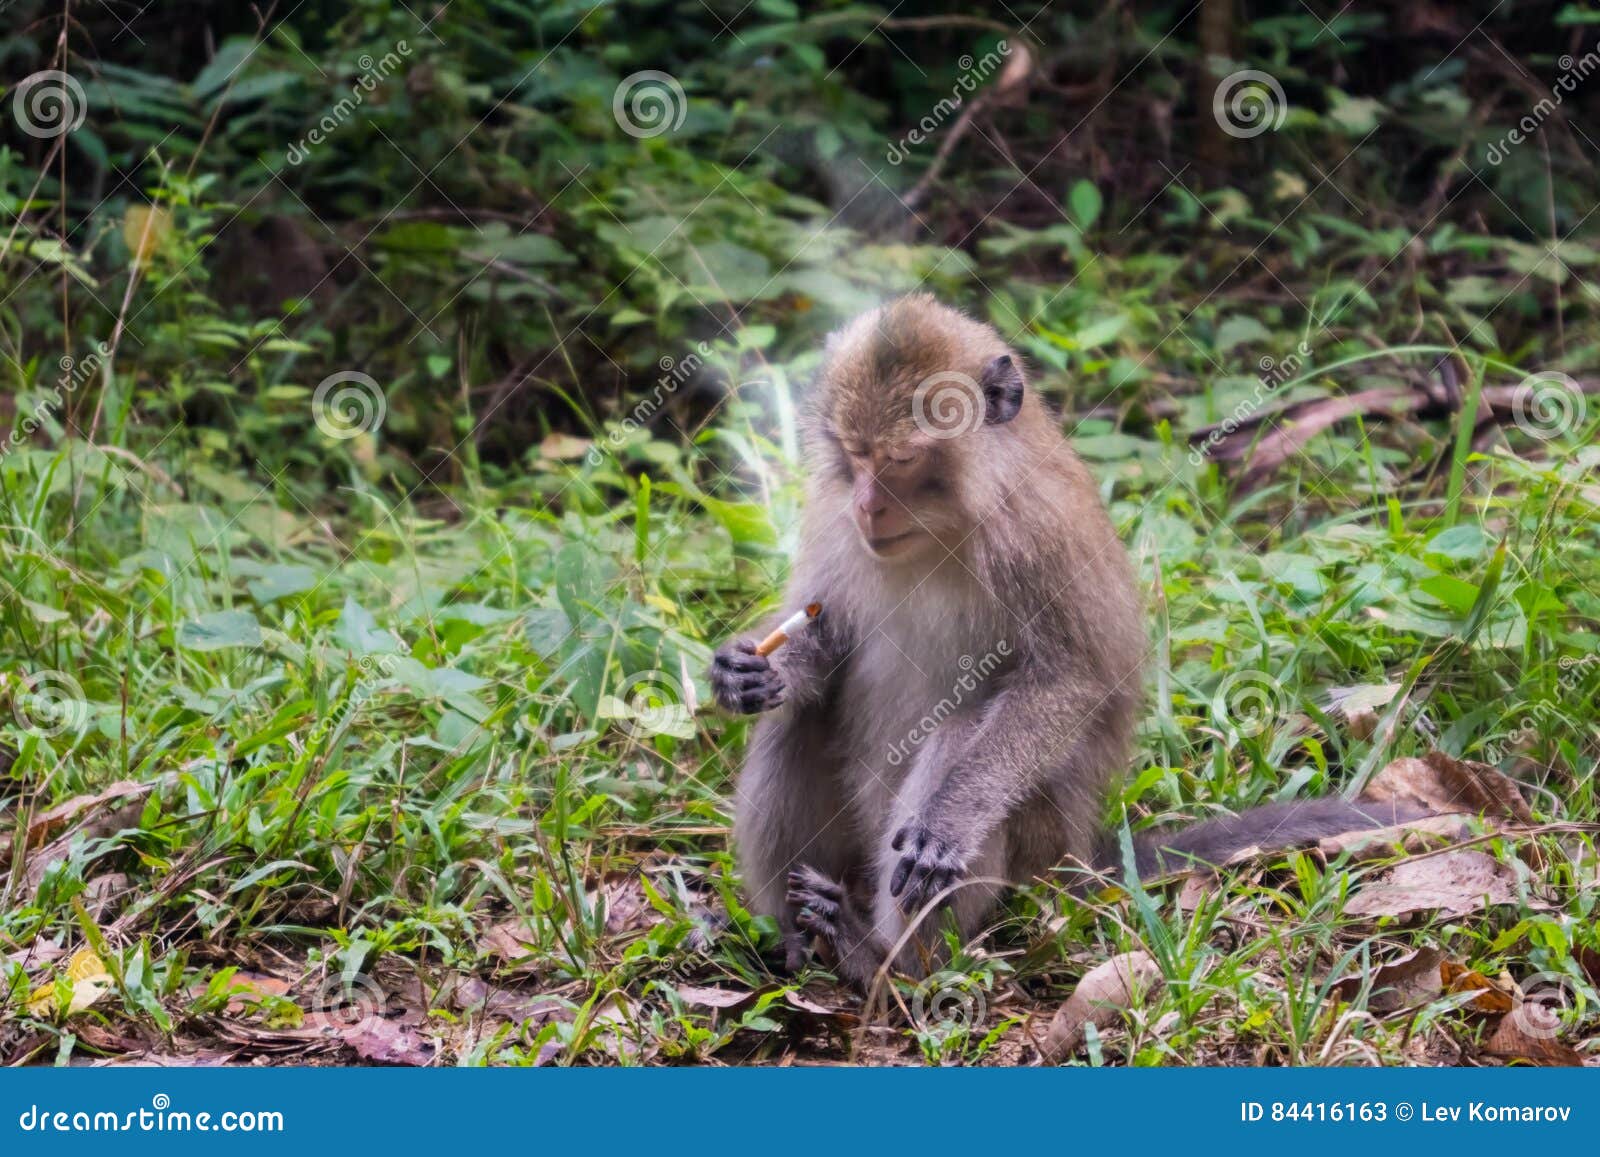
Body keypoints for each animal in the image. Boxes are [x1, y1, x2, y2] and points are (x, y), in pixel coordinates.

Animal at [709, 295, 1429, 987]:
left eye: (901, 460)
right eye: (854, 455)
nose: (867, 506)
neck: (946, 524)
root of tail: (1076, 855)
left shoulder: (1035, 533)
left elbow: (1069, 679)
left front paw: (951, 820)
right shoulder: (832, 521)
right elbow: (825, 635)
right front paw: (753, 670)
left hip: (1039, 844)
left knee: (956, 738)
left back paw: (887, 962)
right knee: (794, 722)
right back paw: (798, 937)